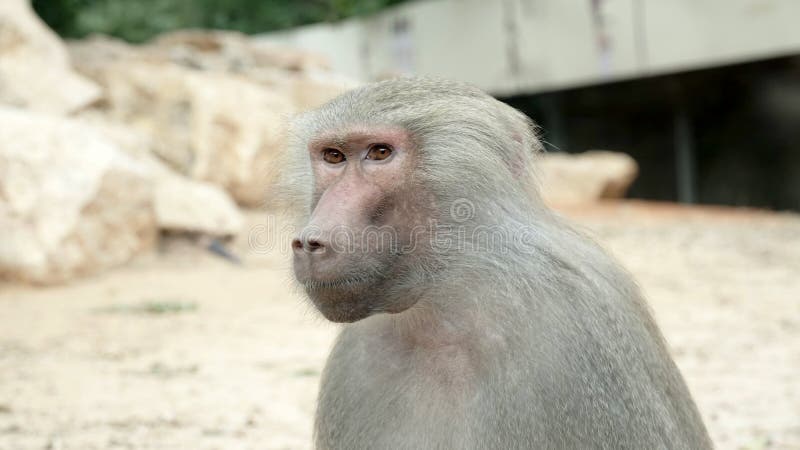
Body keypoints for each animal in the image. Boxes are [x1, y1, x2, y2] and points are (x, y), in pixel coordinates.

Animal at [282, 77, 712, 449]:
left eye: (379, 153)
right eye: (333, 157)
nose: (310, 242)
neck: (447, 305)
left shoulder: (576, 330)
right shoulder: (356, 356)